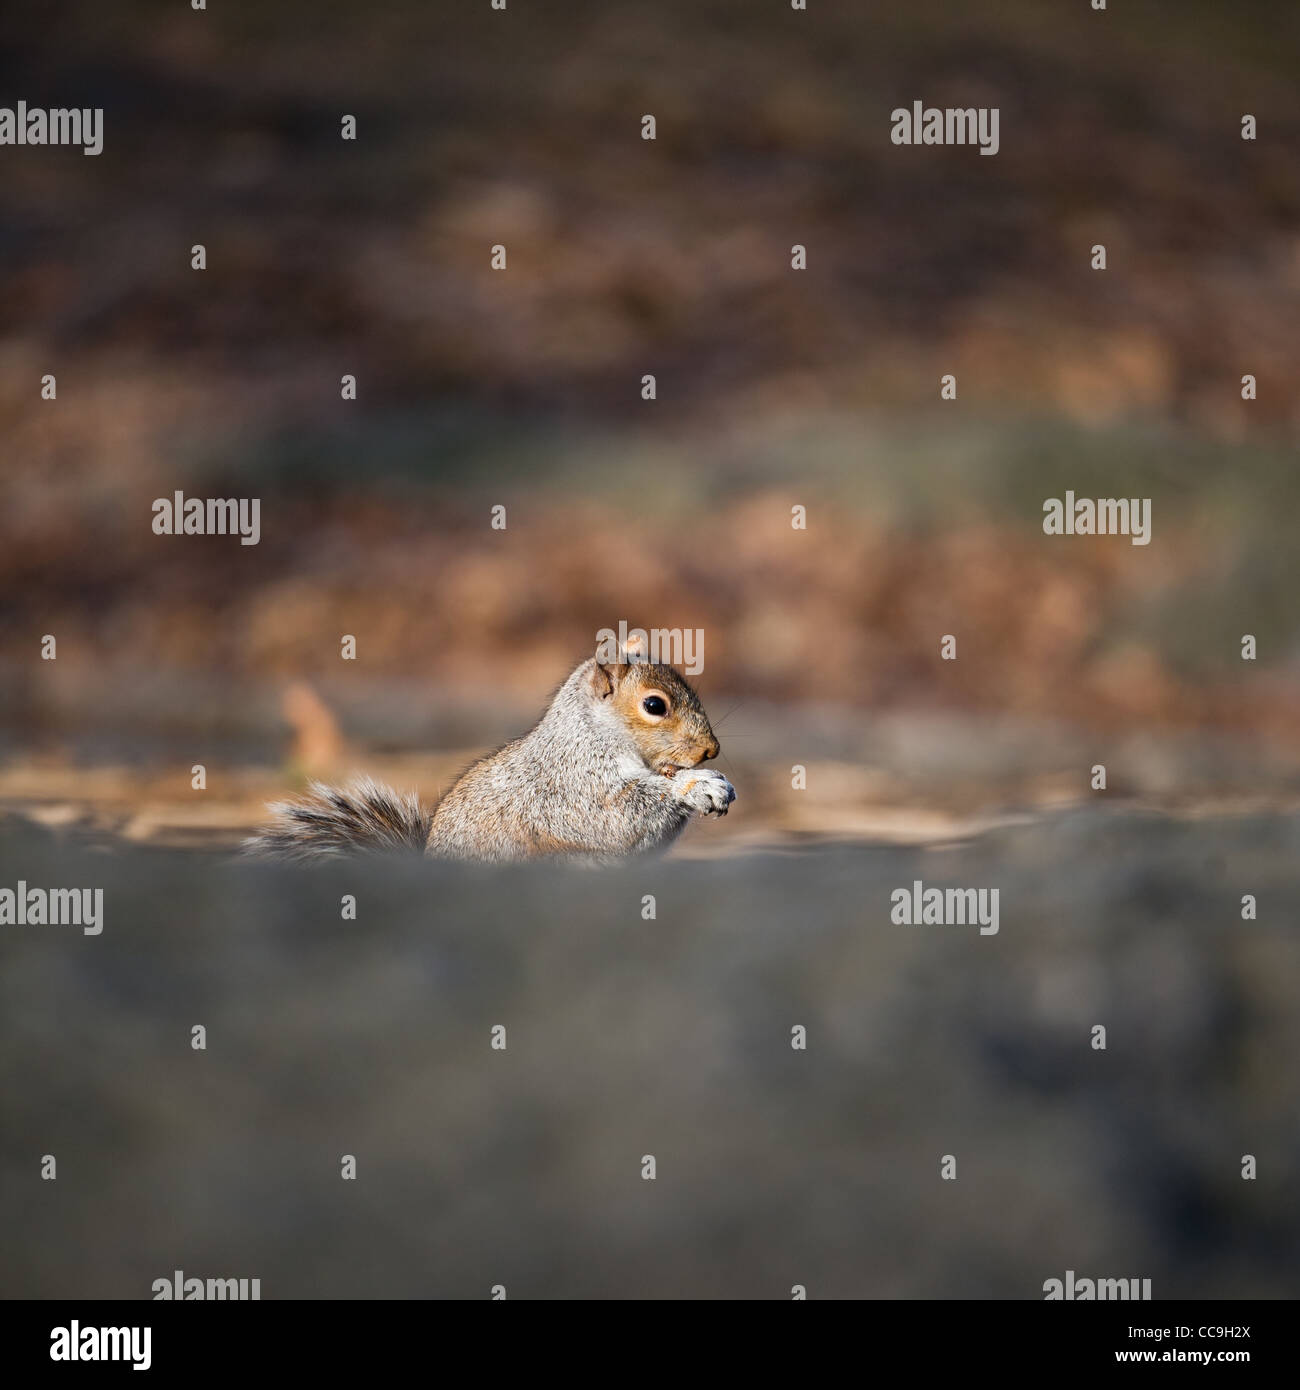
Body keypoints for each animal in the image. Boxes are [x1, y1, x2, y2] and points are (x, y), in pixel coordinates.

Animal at [246, 643, 735, 863]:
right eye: (654, 705)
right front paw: (697, 786)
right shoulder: (572, 788)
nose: (711, 750)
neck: (593, 736)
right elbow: (616, 818)